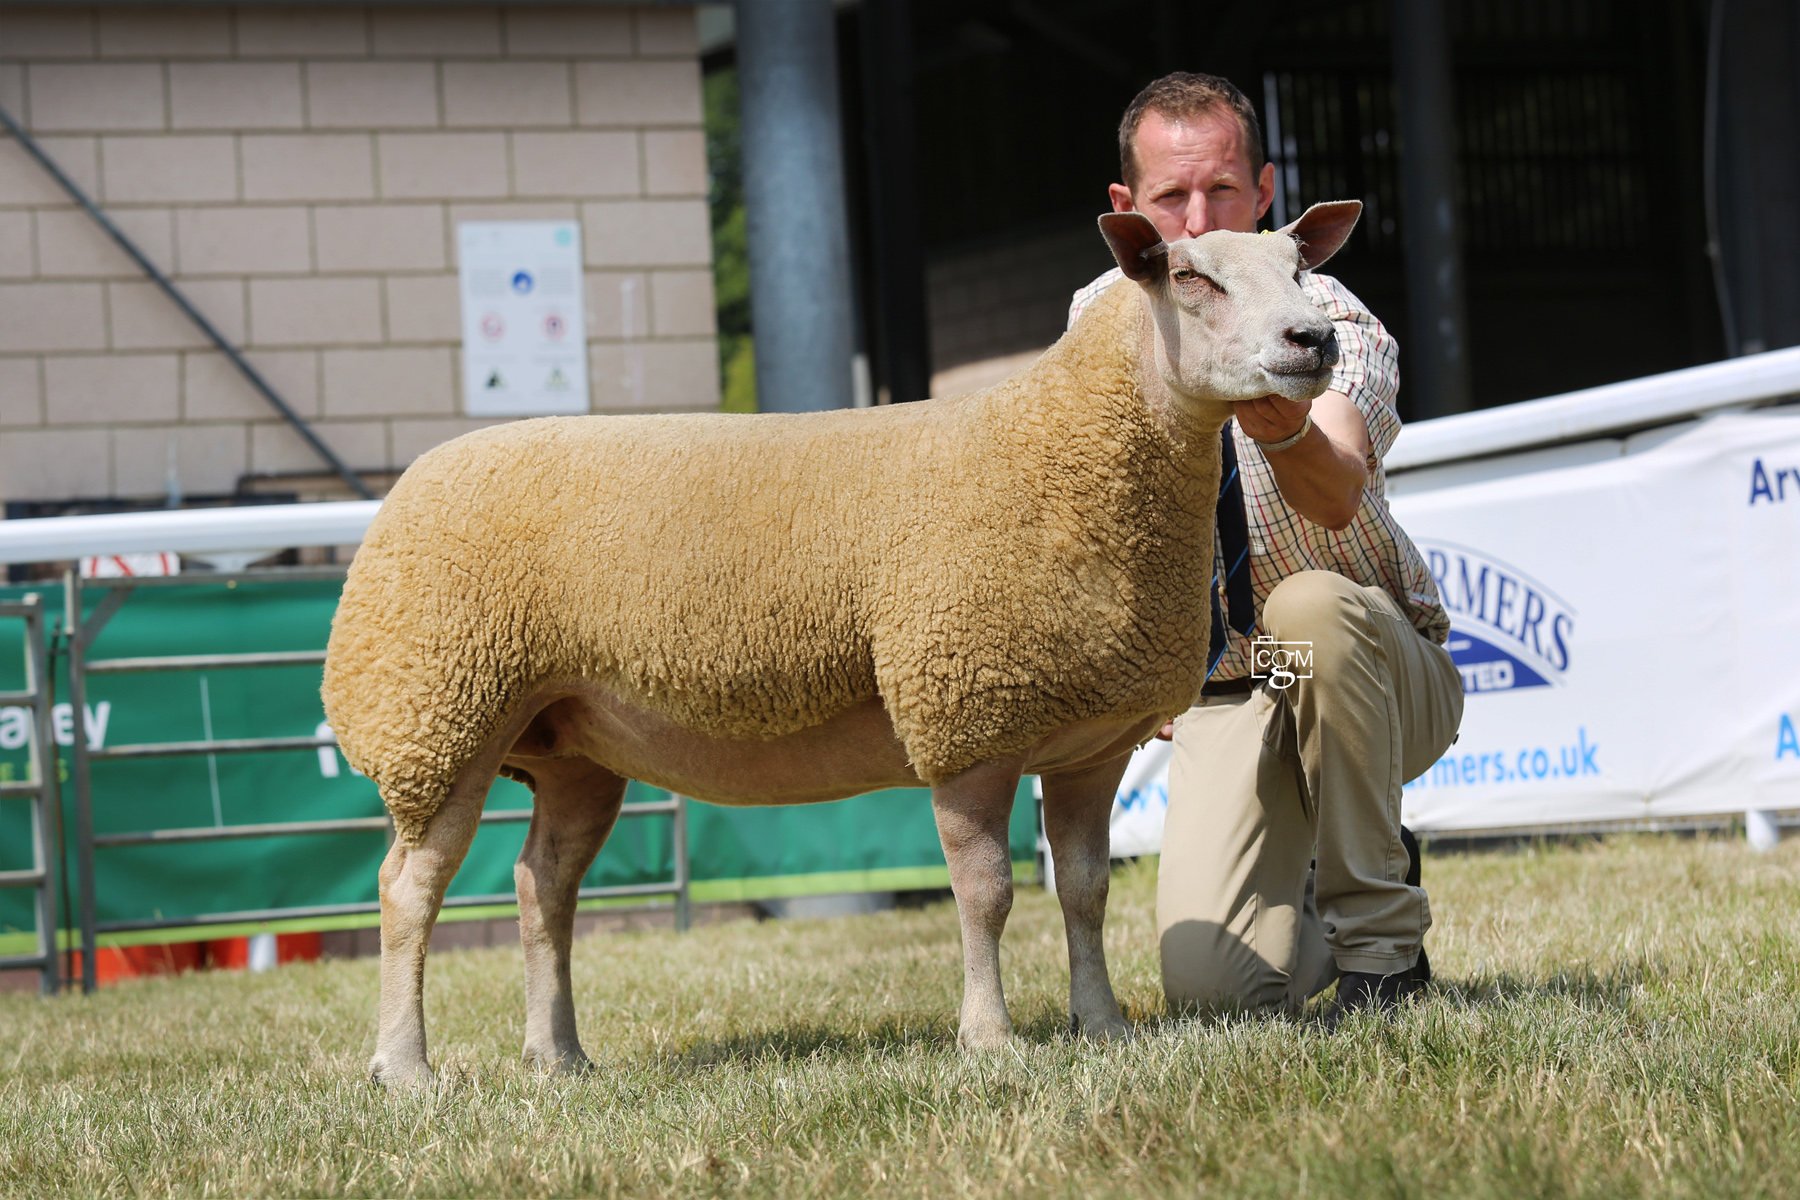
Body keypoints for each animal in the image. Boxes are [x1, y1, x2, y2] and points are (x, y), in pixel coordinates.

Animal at [322, 201, 1362, 1087]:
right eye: (1190, 276)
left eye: (1300, 270)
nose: (1314, 342)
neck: (1063, 449)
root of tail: (412, 479)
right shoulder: (965, 715)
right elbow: (986, 894)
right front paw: (990, 1040)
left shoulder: (1088, 747)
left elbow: (1086, 893)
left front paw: (1101, 1028)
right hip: (437, 714)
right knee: (407, 889)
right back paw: (405, 1069)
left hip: (573, 745)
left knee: (542, 887)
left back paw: (559, 1058)